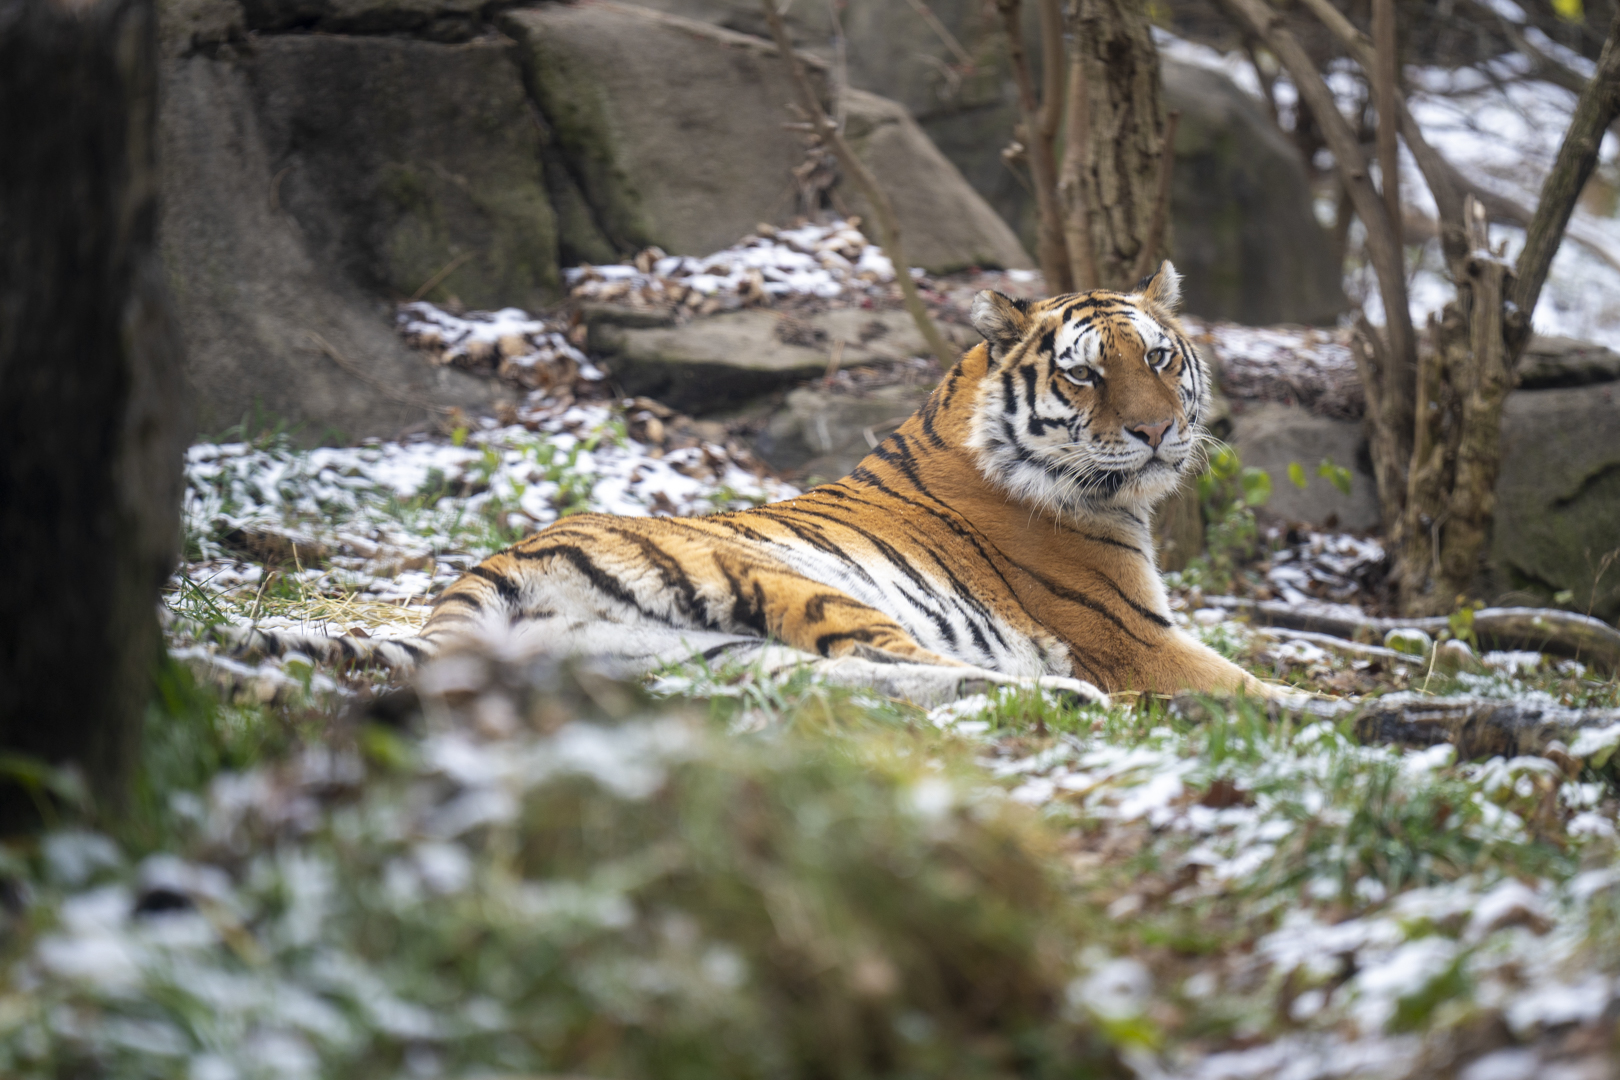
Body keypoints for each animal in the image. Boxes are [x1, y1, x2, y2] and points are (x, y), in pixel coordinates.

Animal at [228, 262, 1264, 704]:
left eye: (1161, 358)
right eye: (1085, 374)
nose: (1158, 431)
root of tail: (486, 574)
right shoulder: (1134, 636)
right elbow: (1247, 681)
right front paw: (1308, 709)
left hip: (699, 654)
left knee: (854, 684)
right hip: (794, 584)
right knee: (896, 665)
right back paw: (1081, 700)